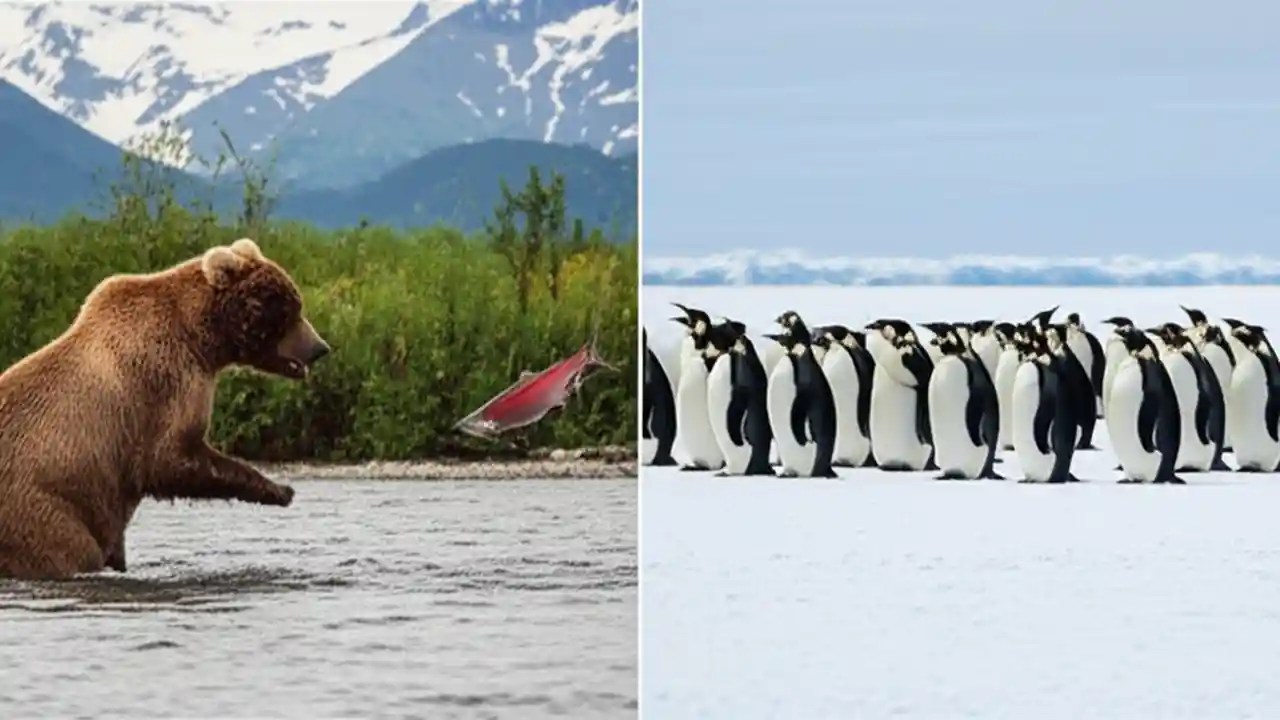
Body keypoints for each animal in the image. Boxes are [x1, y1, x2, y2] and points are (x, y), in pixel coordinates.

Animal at [0, 238, 330, 580]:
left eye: (296, 304)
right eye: (287, 310)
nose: (320, 348)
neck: (201, 337)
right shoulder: (164, 381)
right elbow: (171, 458)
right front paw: (279, 489)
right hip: (45, 515)